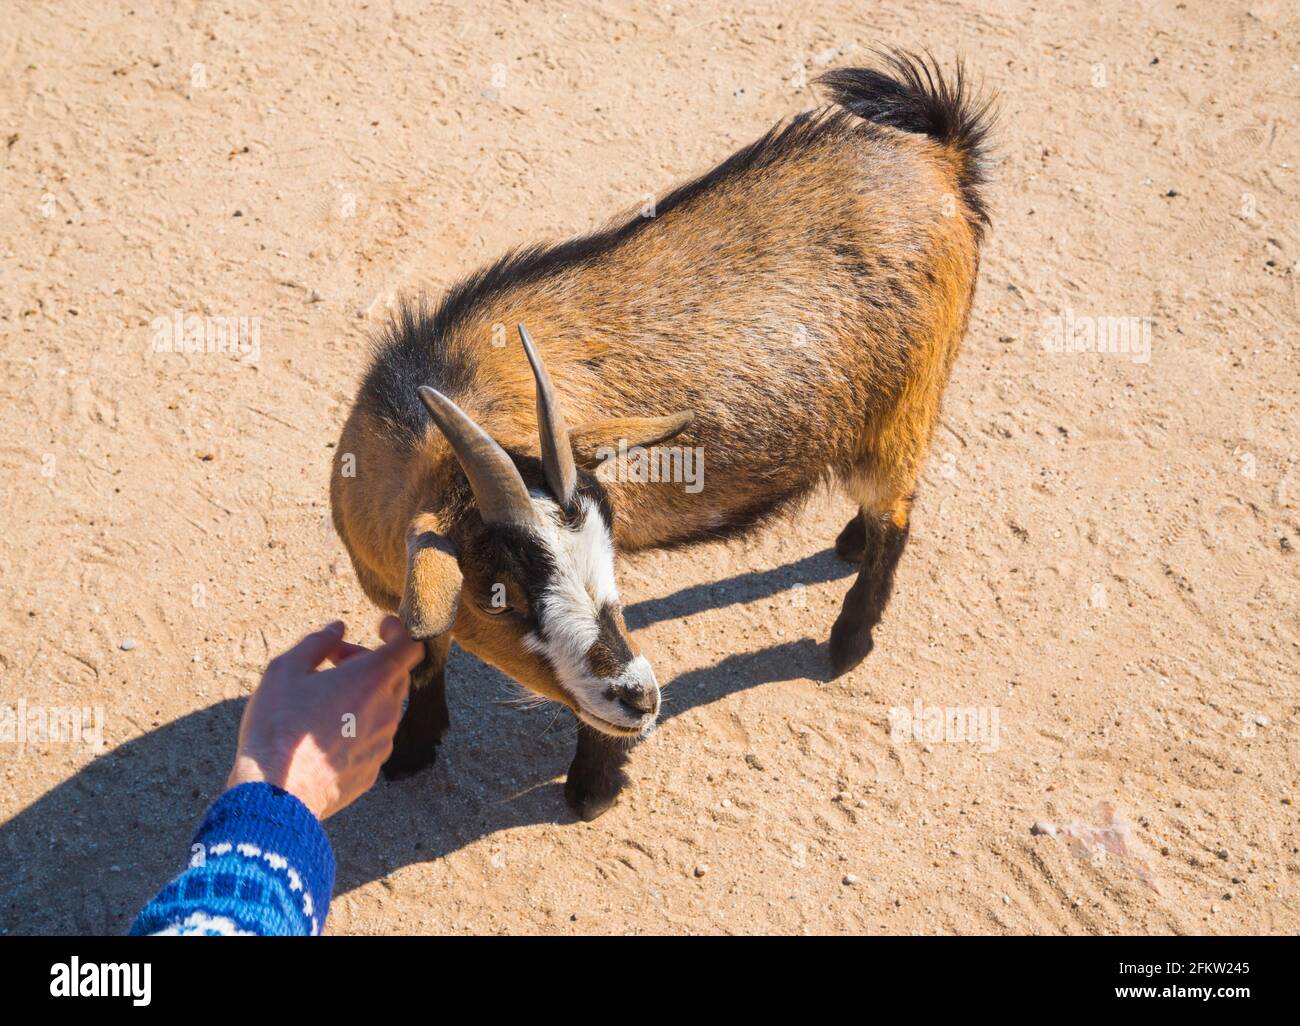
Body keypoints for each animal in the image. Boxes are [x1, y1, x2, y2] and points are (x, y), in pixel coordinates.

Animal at [330, 51, 993, 819]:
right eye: (499, 594)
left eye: (604, 555)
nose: (640, 698)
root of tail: (939, 157)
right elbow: (425, 652)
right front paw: (411, 748)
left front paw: (592, 788)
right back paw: (848, 542)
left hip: (906, 408)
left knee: (898, 513)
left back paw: (849, 640)